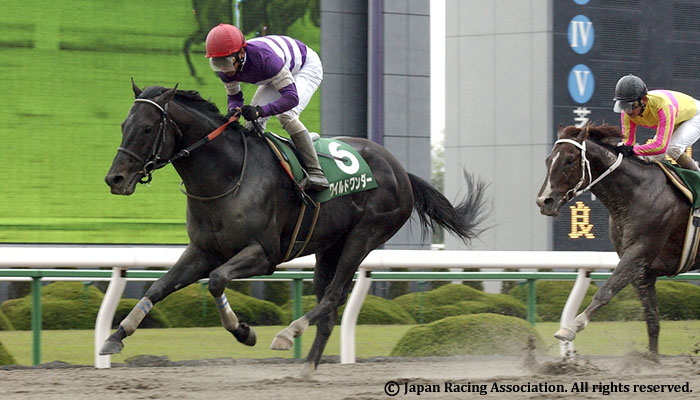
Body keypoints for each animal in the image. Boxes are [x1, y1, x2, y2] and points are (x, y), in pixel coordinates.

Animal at [102, 82, 488, 378]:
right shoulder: (203, 251)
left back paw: (289, 333)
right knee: (330, 307)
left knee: (333, 296)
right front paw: (116, 335)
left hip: (365, 235)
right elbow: (159, 286)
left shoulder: (264, 255)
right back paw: (307, 367)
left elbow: (216, 280)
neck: (227, 174)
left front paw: (245, 332)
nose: (114, 179)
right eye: (122, 125)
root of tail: (400, 169)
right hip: (328, 248)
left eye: (147, 129)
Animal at [536, 123, 700, 355]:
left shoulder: (639, 252)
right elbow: (652, 322)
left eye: (569, 159)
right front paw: (651, 359)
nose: (544, 201)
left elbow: (606, 291)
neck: (636, 193)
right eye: (548, 160)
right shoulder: (643, 271)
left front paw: (571, 327)